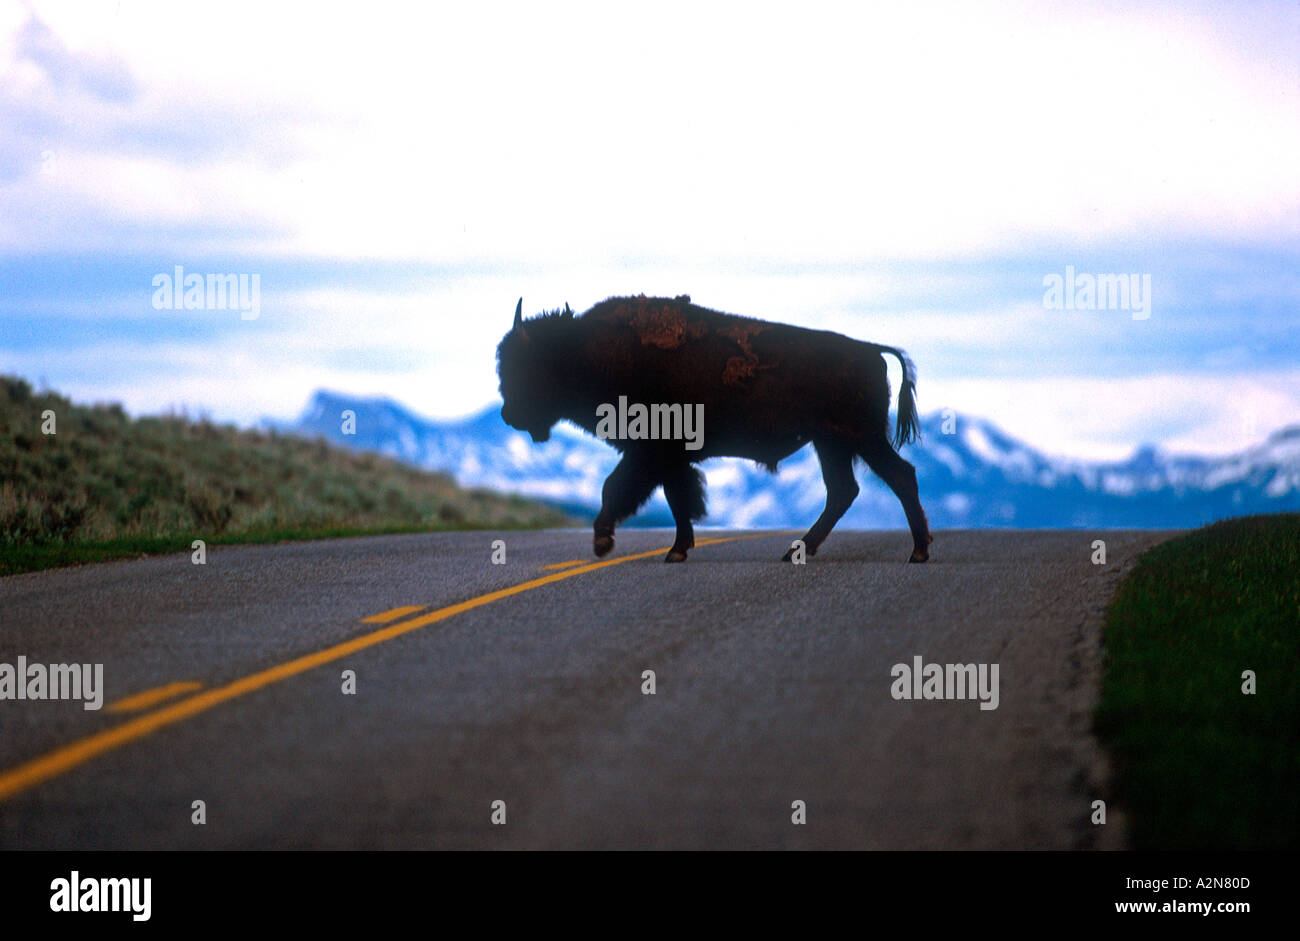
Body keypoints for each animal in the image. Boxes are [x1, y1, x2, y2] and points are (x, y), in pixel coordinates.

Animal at [496, 294, 932, 563]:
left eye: (526, 366)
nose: (508, 414)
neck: (582, 351)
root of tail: (870, 350)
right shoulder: (669, 459)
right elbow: (677, 497)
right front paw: (677, 550)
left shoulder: (650, 452)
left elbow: (619, 487)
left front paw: (604, 541)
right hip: (832, 443)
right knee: (844, 491)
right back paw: (797, 551)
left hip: (859, 438)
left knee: (900, 476)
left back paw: (918, 552)